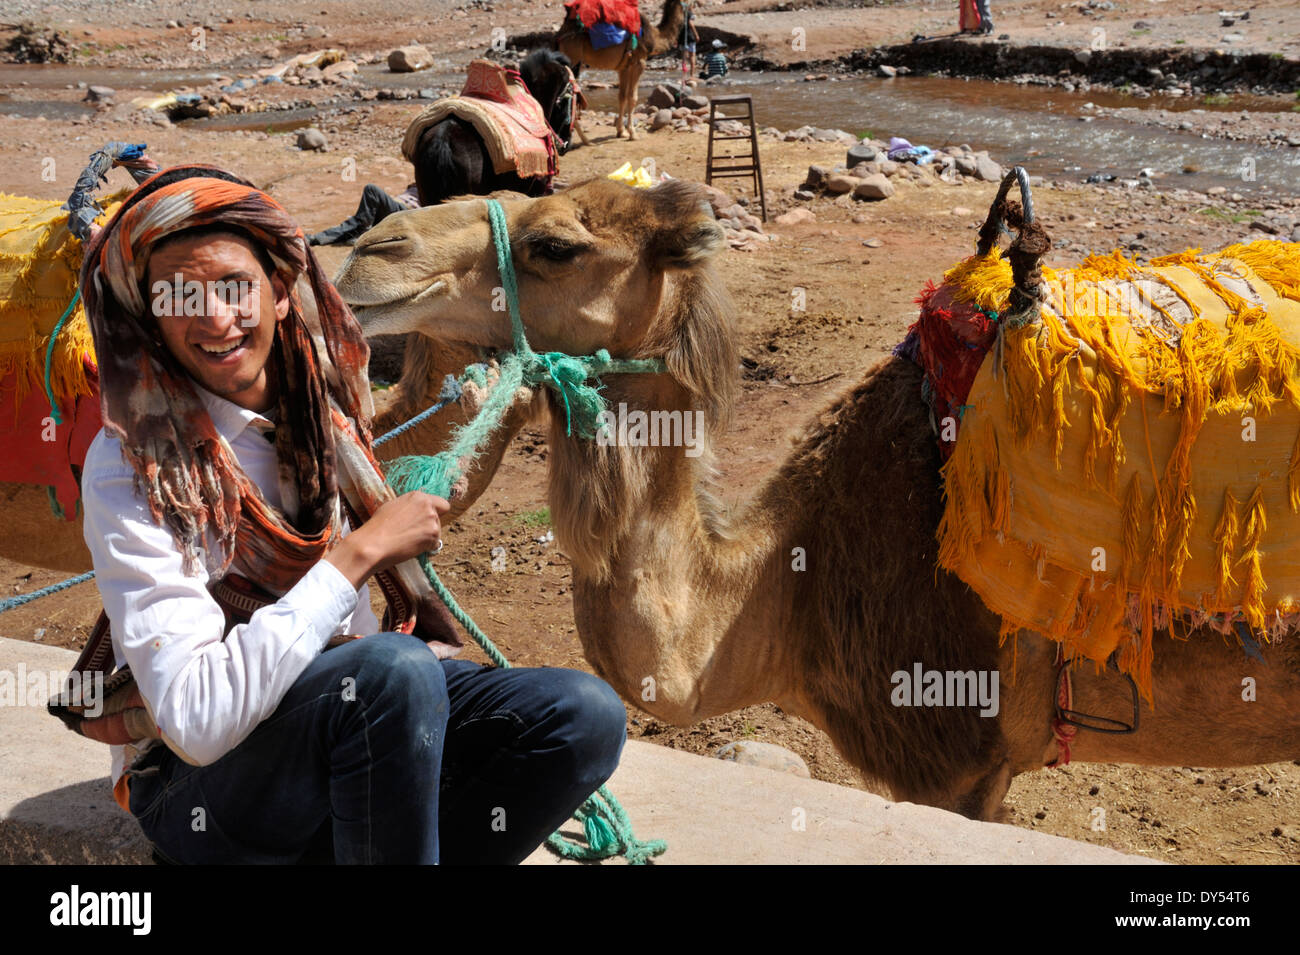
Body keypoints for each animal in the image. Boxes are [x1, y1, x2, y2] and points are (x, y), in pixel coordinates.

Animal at [555, 0, 685, 140]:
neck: (655, 36)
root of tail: (561, 35)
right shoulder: (639, 63)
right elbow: (633, 97)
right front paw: (633, 133)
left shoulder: (623, 68)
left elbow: (622, 97)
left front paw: (621, 132)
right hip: (573, 59)